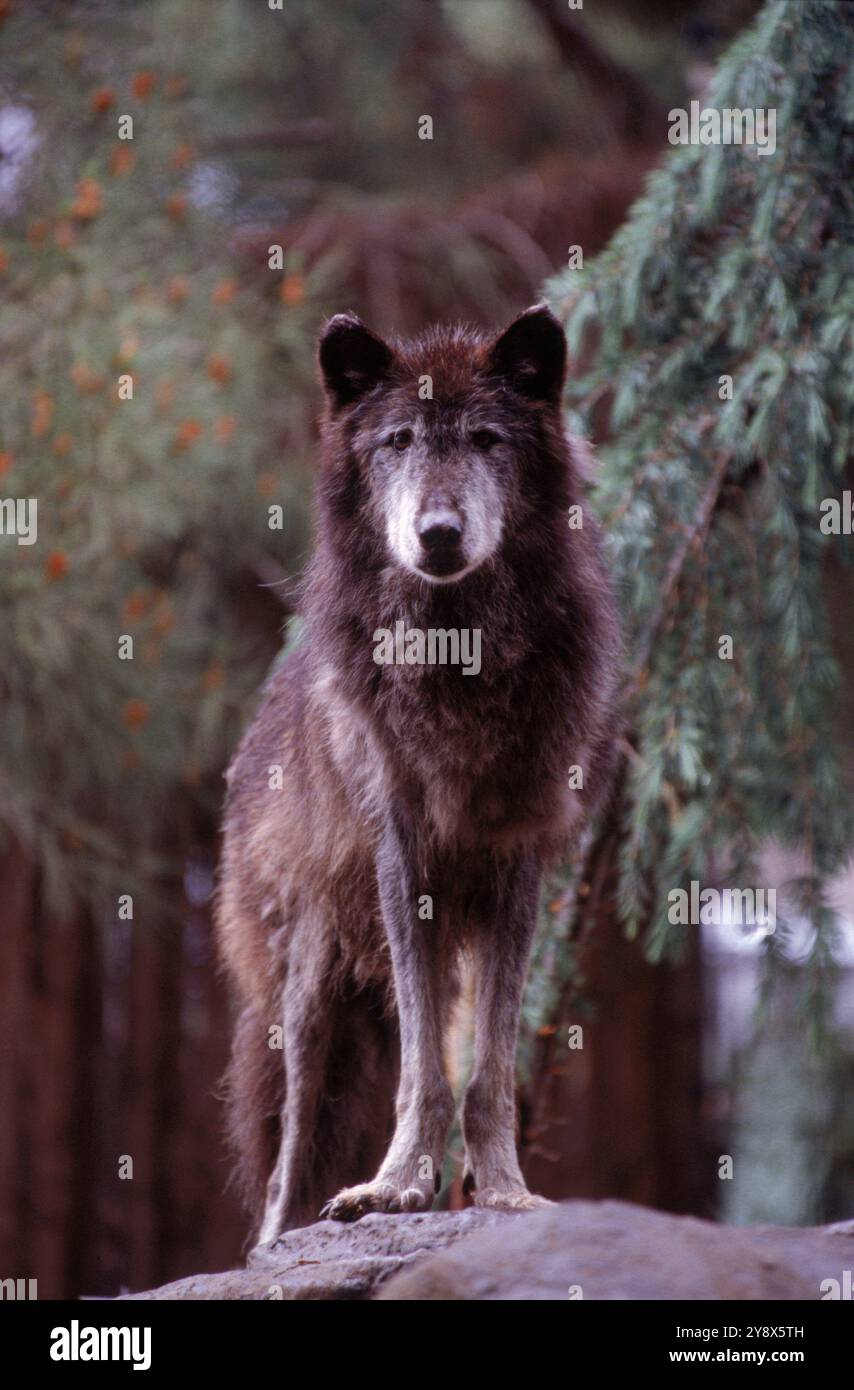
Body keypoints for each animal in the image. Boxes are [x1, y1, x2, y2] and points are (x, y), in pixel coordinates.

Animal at [216, 303, 620, 1244]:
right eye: (398, 441)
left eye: (485, 440)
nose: (438, 534)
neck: (455, 661)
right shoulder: (403, 863)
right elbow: (422, 1074)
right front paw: (395, 1186)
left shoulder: (518, 866)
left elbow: (489, 1071)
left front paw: (502, 1189)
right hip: (310, 992)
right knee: (286, 1161)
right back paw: (276, 1243)